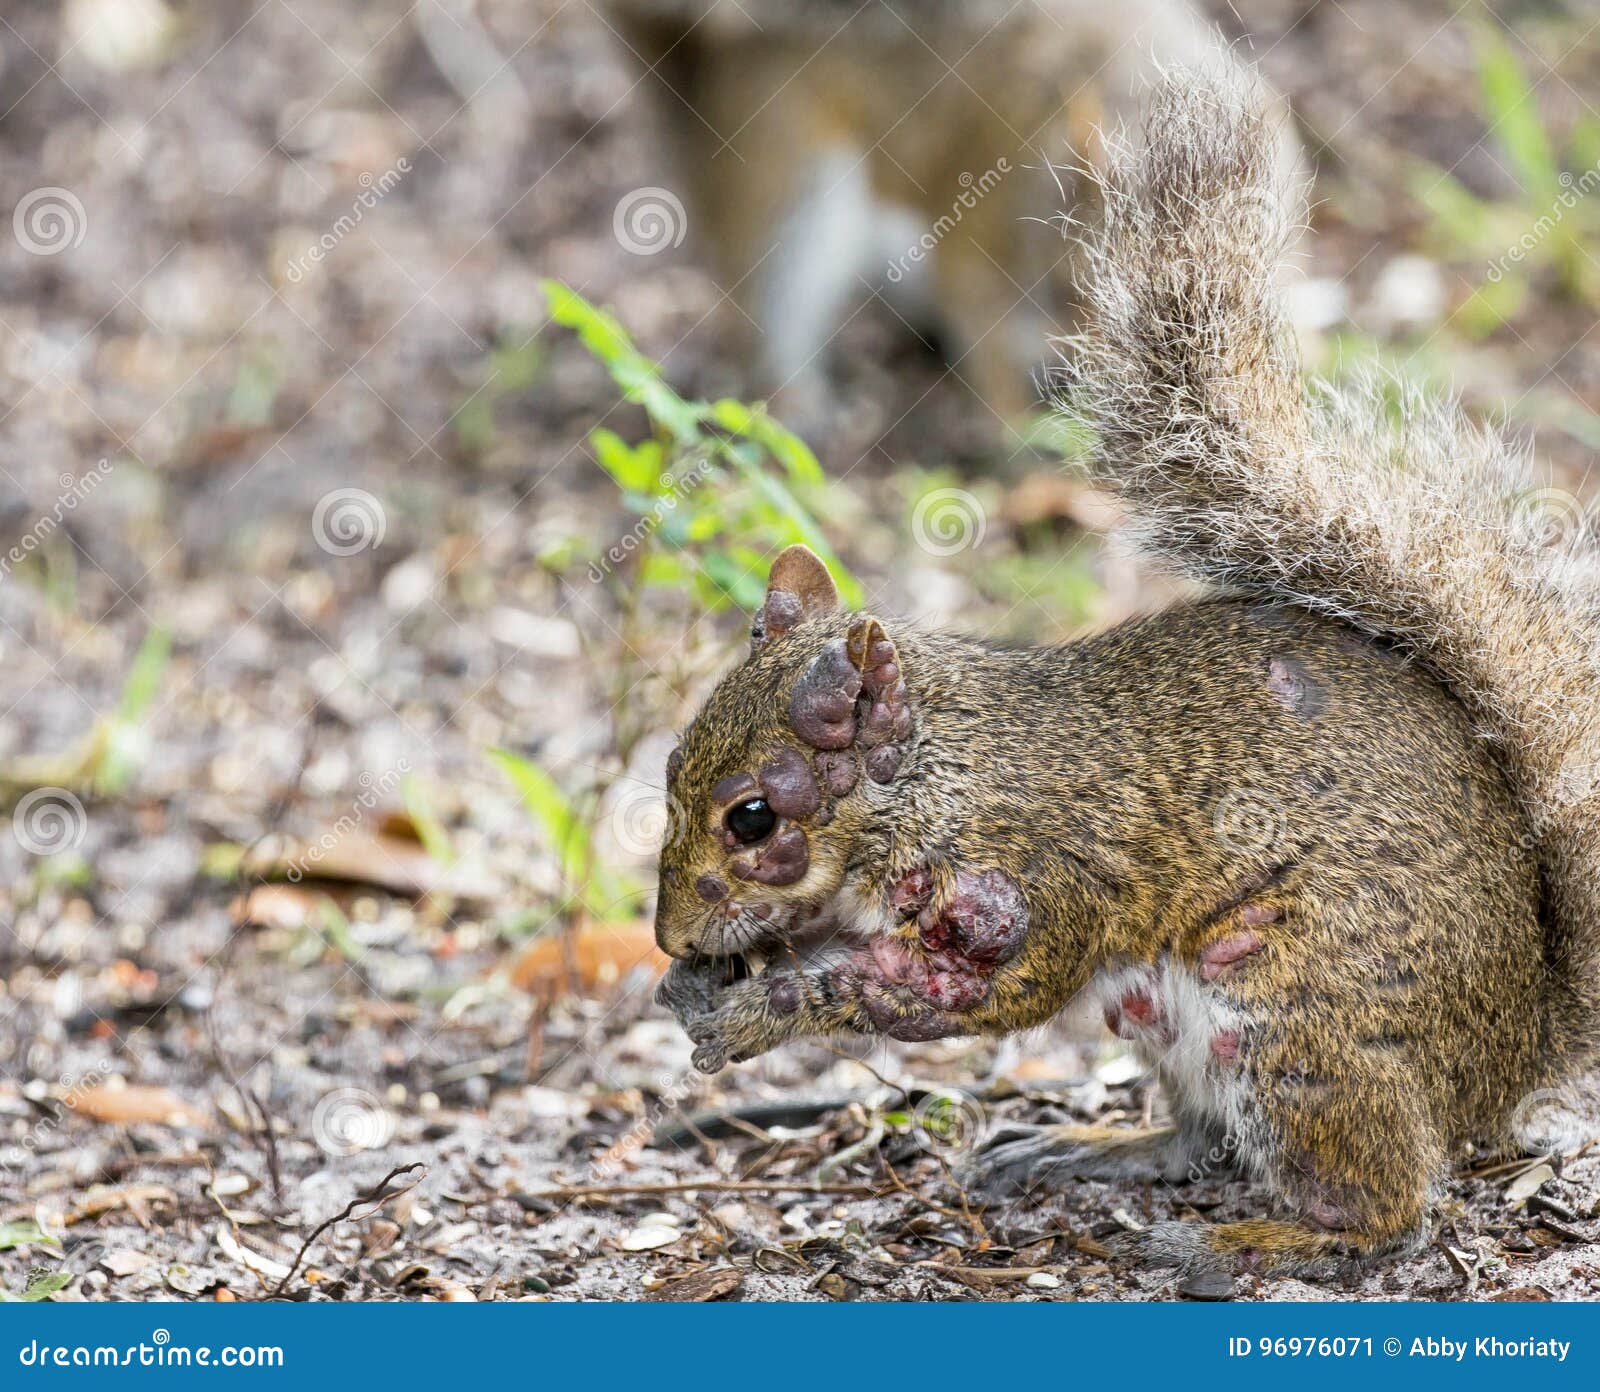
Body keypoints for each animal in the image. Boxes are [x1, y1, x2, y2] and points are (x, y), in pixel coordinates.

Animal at [601, 0, 1299, 428]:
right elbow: (980, 321)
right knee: (775, 313)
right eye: (1070, 289)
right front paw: (1014, 431)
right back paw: (802, 403)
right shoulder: (982, 219)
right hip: (796, 190)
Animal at [650, 75, 1600, 1279]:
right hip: (1175, 1030)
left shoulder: (1033, 883)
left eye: (754, 819)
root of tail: (1514, 1056)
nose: (669, 936)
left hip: (1302, 1019)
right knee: (1202, 1139)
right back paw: (1100, 1148)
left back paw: (1253, 1237)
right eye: (669, 770)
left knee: (1389, 1201)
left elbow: (946, 991)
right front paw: (701, 986)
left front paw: (758, 1012)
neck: (940, 773)